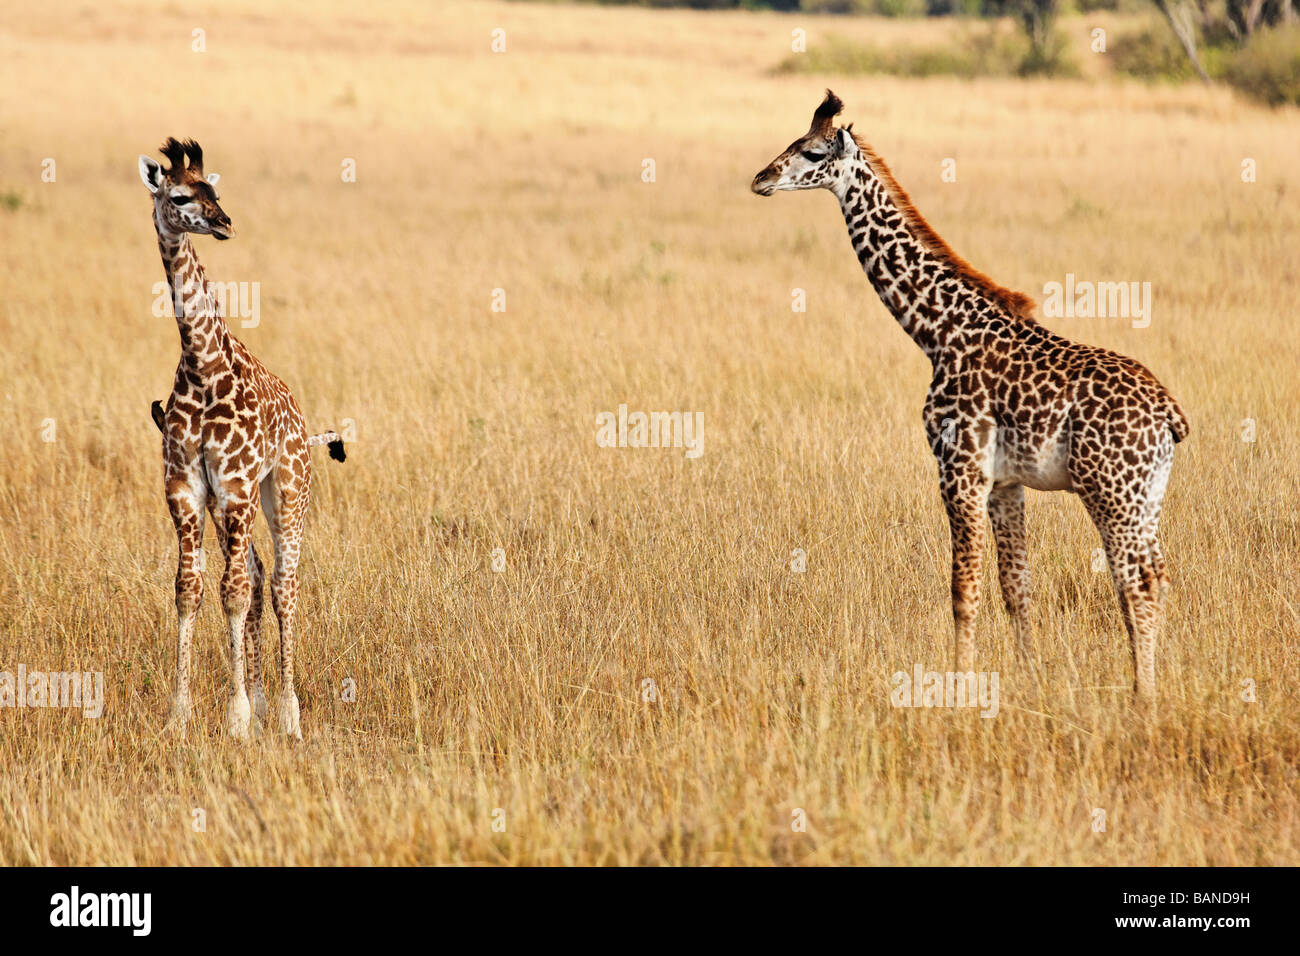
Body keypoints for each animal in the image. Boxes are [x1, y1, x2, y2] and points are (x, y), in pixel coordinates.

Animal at [139, 138, 345, 739]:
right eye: (181, 196)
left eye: (213, 189)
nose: (224, 223)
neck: (203, 364)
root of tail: (302, 422)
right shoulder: (185, 490)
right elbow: (190, 590)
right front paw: (181, 716)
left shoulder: (235, 486)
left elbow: (233, 593)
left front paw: (235, 719)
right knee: (255, 579)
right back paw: (262, 701)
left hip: (286, 494)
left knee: (281, 586)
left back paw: (287, 714)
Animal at [751, 93, 1188, 701]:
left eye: (813, 151)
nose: (761, 178)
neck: (937, 331)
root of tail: (1170, 415)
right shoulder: (1005, 481)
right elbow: (1015, 589)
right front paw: (1029, 681)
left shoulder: (959, 468)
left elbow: (963, 590)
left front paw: (959, 691)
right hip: (1146, 495)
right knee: (1157, 577)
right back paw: (1148, 685)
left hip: (1110, 492)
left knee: (1138, 582)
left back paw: (1142, 697)